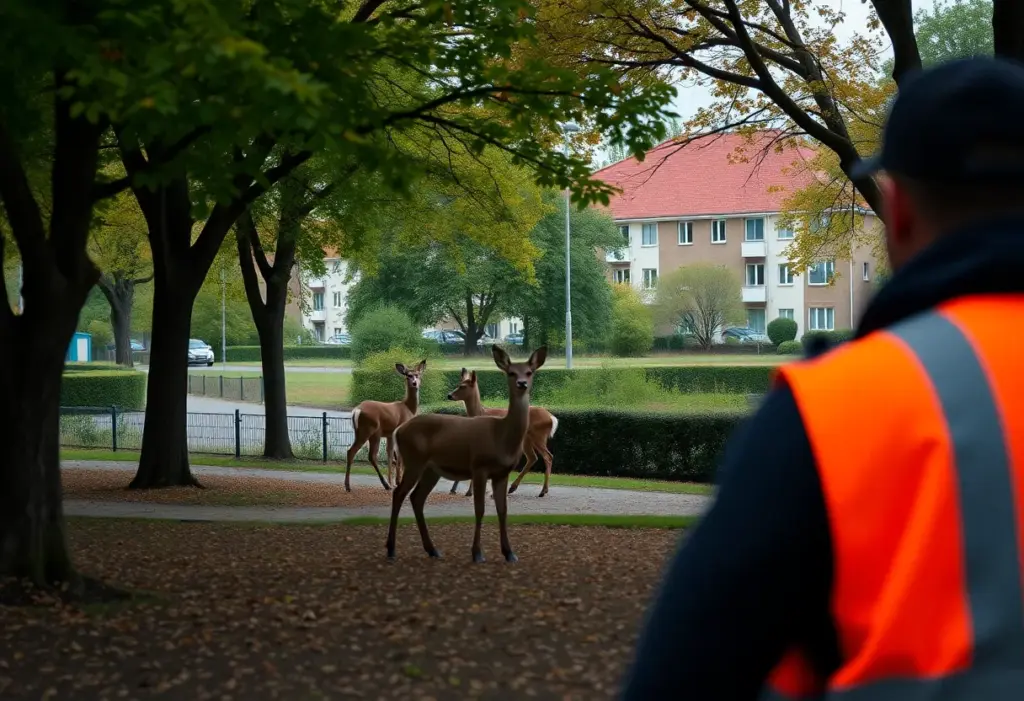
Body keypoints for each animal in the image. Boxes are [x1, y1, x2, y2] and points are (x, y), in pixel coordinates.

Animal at [344, 360, 425, 492]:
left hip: (359, 431)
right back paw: (383, 485)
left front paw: (394, 482)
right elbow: (398, 457)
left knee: (350, 451)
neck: (409, 408)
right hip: (372, 431)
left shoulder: (389, 435)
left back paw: (349, 486)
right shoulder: (399, 432)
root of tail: (357, 410)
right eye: (408, 375)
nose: (414, 383)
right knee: (370, 455)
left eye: (418, 375)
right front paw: (397, 482)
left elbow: (390, 455)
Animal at [446, 367, 558, 498]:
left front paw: (472, 492)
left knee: (548, 456)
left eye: (462, 386)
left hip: (538, 436)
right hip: (527, 439)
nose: (449, 395)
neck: (481, 413)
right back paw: (513, 488)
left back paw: (543, 491)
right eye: (458, 384)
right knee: (532, 457)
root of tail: (551, 417)